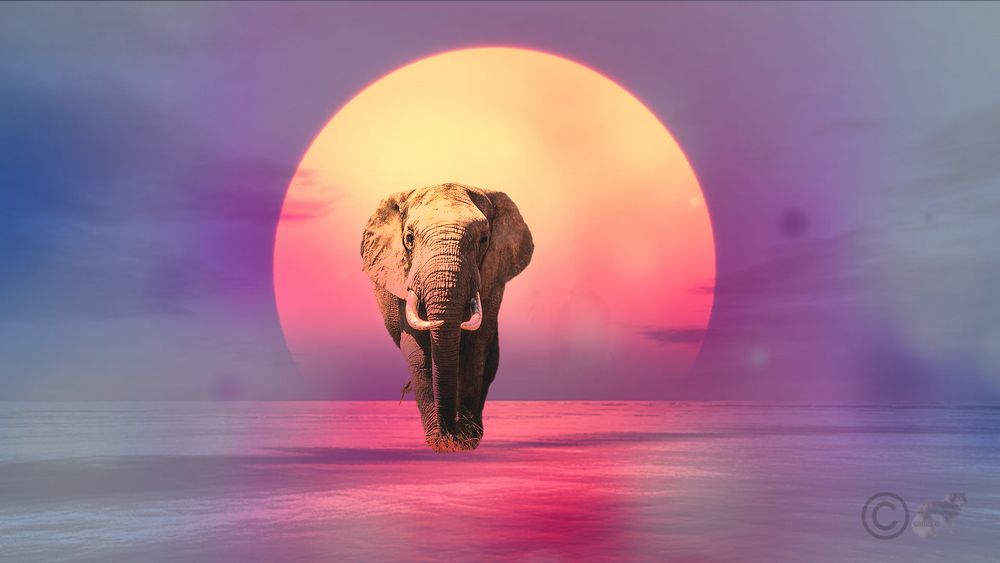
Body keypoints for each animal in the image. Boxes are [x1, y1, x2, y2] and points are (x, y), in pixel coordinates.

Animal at [361, 182, 533, 452]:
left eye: (484, 239)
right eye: (409, 239)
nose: (449, 434)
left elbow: (476, 349)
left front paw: (466, 442)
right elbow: (418, 352)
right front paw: (438, 442)